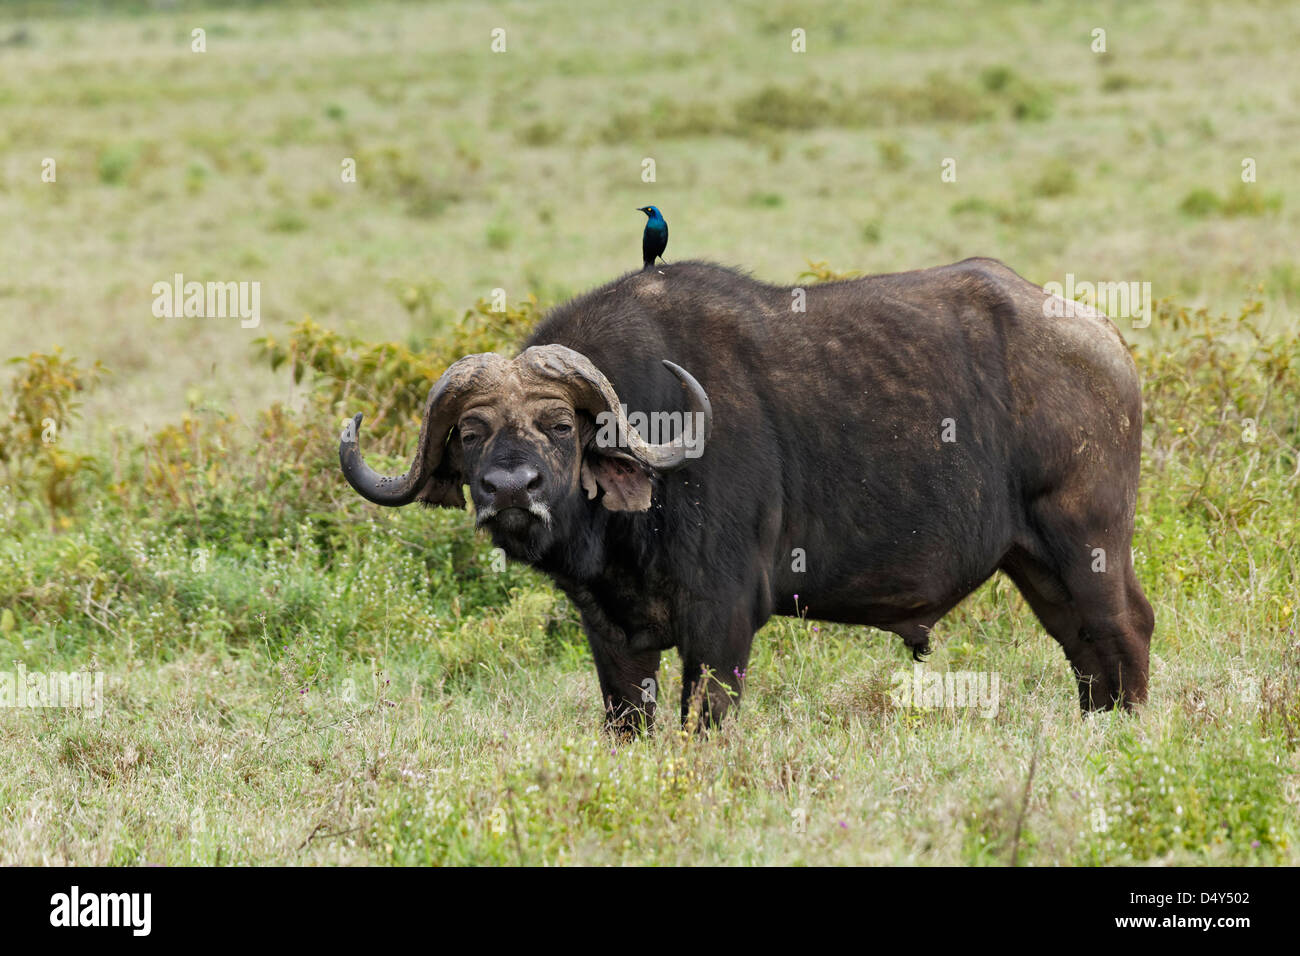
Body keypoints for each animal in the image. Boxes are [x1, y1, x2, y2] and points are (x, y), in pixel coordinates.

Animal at [340, 258, 1153, 731]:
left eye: (559, 425)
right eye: (472, 432)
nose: (511, 487)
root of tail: (1105, 342)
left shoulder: (721, 621)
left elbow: (704, 723)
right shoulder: (610, 635)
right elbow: (627, 721)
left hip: (1087, 544)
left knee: (1126, 630)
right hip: (1034, 563)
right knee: (1084, 649)